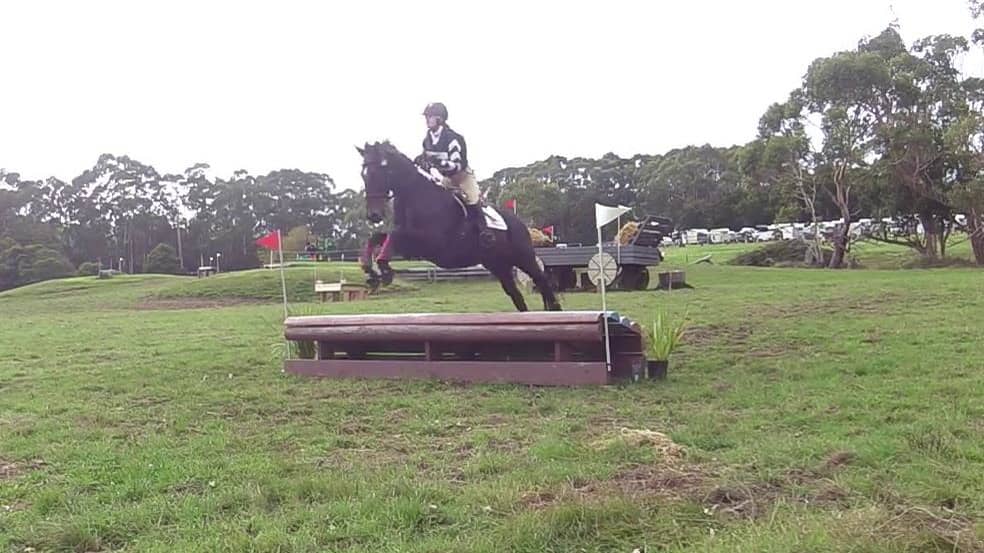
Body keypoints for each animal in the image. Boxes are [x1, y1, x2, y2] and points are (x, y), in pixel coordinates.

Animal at [356, 141, 562, 312]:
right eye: (363, 175)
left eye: (378, 174)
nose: (373, 215)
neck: (417, 196)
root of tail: (521, 224)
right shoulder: (412, 245)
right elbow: (379, 237)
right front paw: (370, 270)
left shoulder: (429, 242)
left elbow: (393, 236)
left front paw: (383, 270)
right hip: (498, 265)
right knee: (517, 296)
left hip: (524, 258)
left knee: (542, 282)